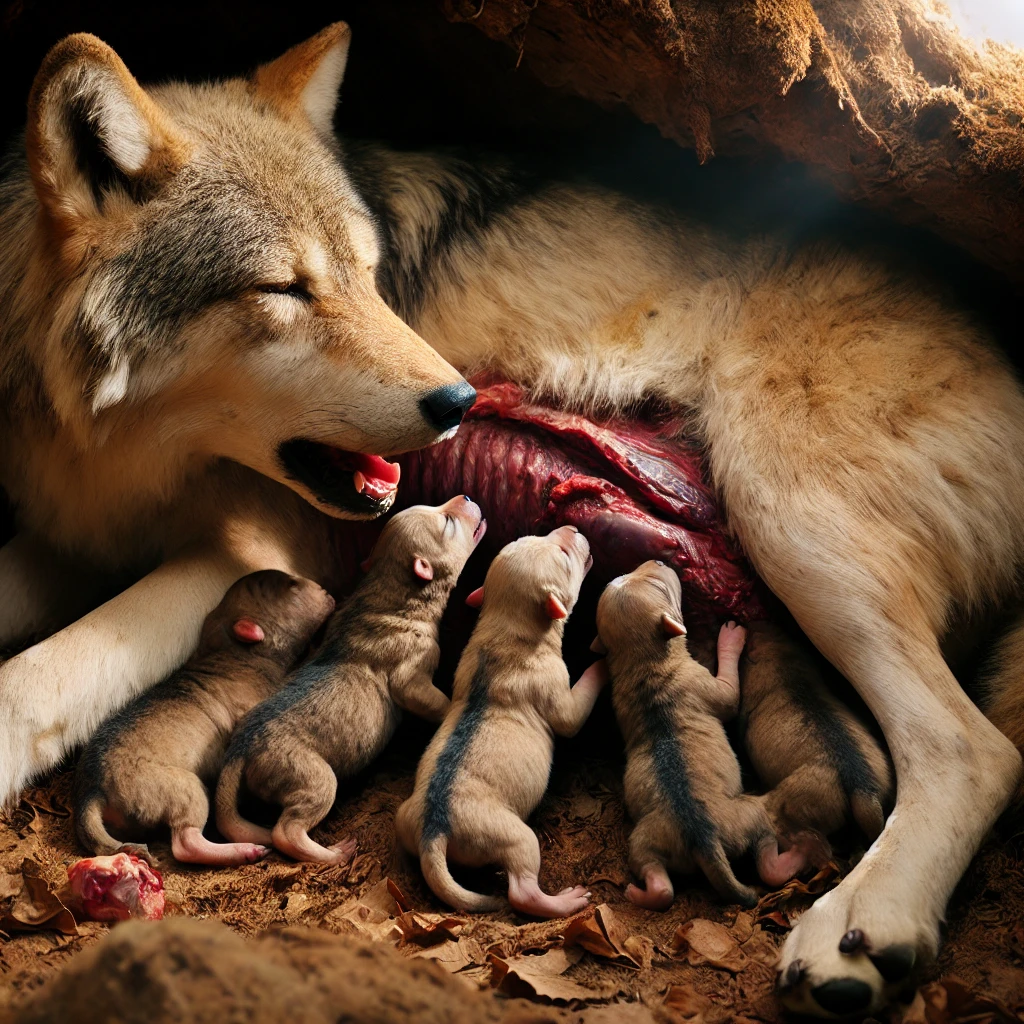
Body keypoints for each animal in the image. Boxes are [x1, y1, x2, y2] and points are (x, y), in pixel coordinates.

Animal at [0, 22, 1022, 1018]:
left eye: (369, 277)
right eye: (284, 289)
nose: (459, 399)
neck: (114, 449)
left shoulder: (242, 549)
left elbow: (35, 682)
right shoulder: (62, 535)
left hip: (791, 527)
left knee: (976, 749)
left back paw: (860, 926)